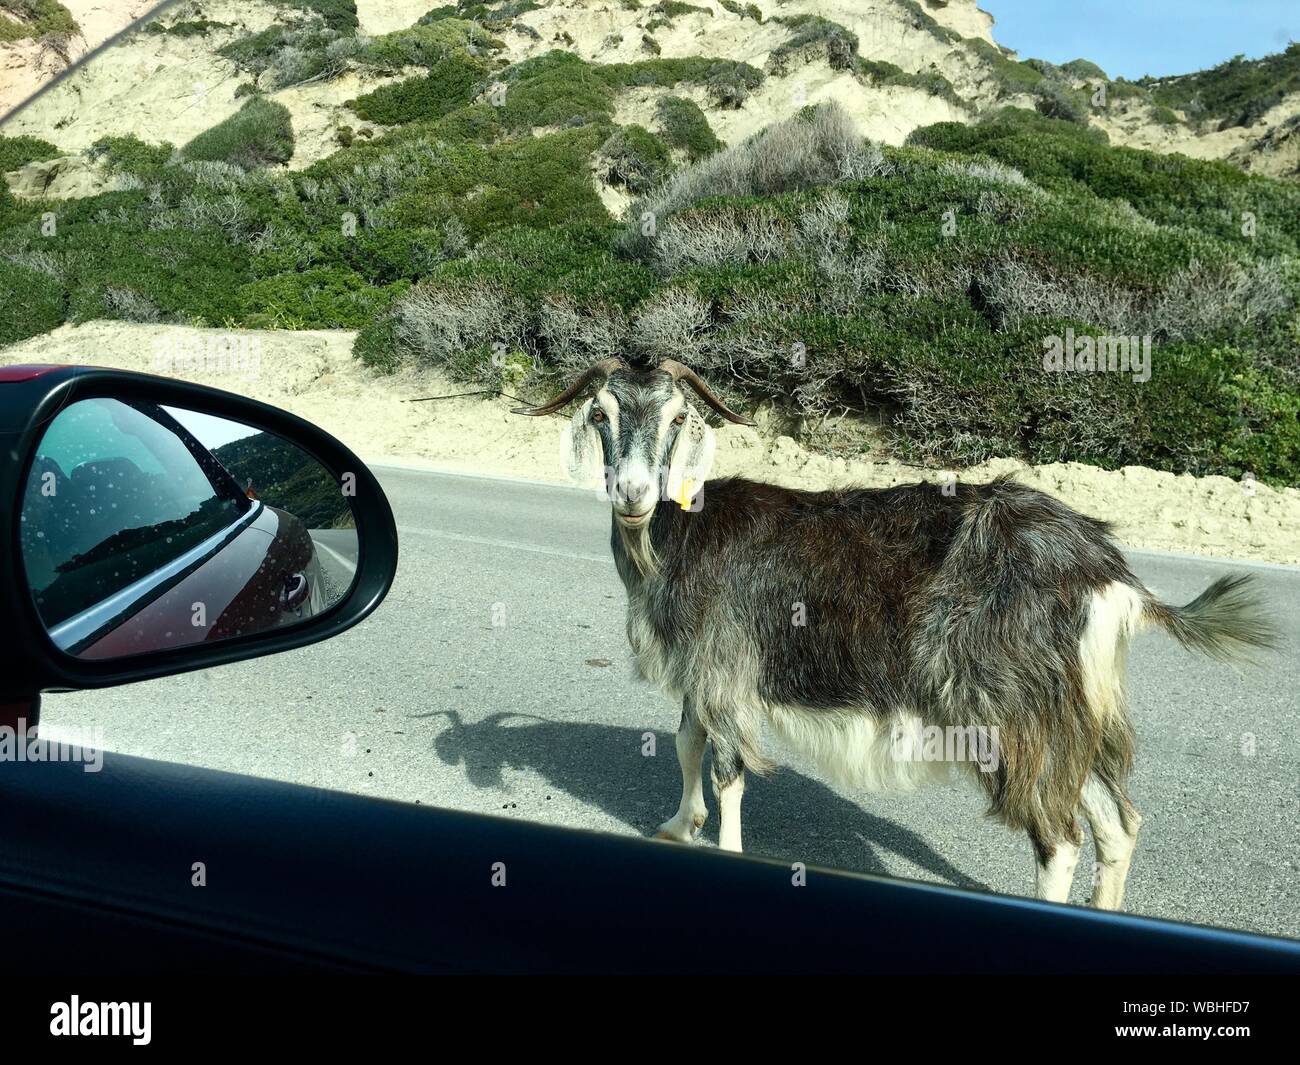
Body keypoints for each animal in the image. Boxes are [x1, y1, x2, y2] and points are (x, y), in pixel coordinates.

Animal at [513, 358, 1277, 909]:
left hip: (1012, 712)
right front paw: (677, 827)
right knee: (1117, 823)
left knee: (1059, 838)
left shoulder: (724, 667)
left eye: (678, 416)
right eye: (601, 411)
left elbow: (728, 771)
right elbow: (684, 742)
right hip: (1070, 717)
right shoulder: (703, 673)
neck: (676, 534)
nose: (634, 493)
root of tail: (1109, 575)